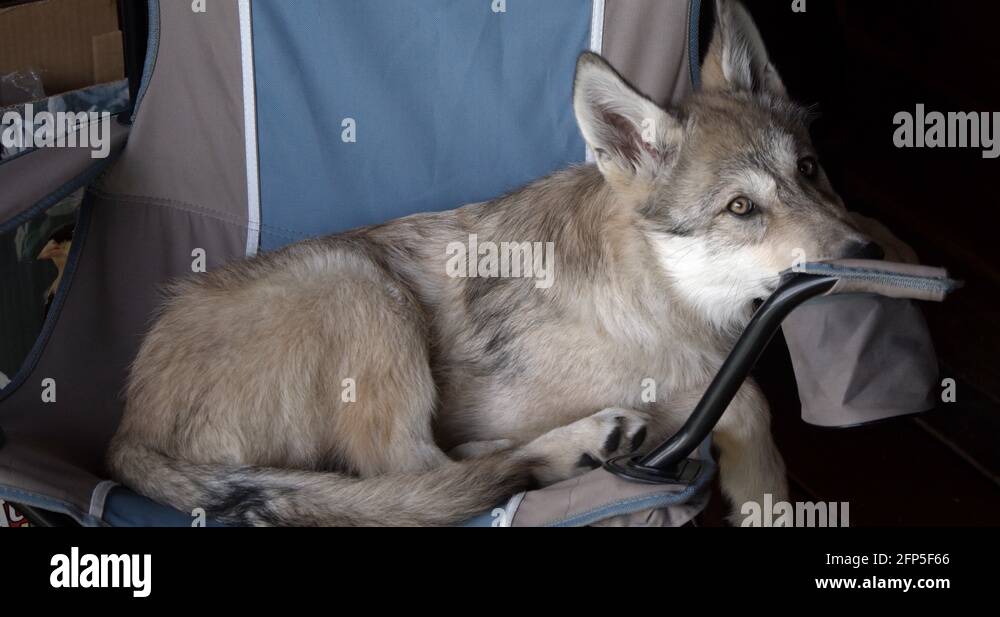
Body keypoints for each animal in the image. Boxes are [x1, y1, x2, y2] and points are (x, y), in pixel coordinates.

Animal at [107, 0, 875, 526]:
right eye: (741, 208)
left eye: (810, 170)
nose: (868, 255)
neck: (653, 295)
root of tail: (127, 430)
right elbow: (745, 399)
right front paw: (765, 497)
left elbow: (740, 394)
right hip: (357, 285)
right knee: (414, 477)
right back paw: (573, 447)